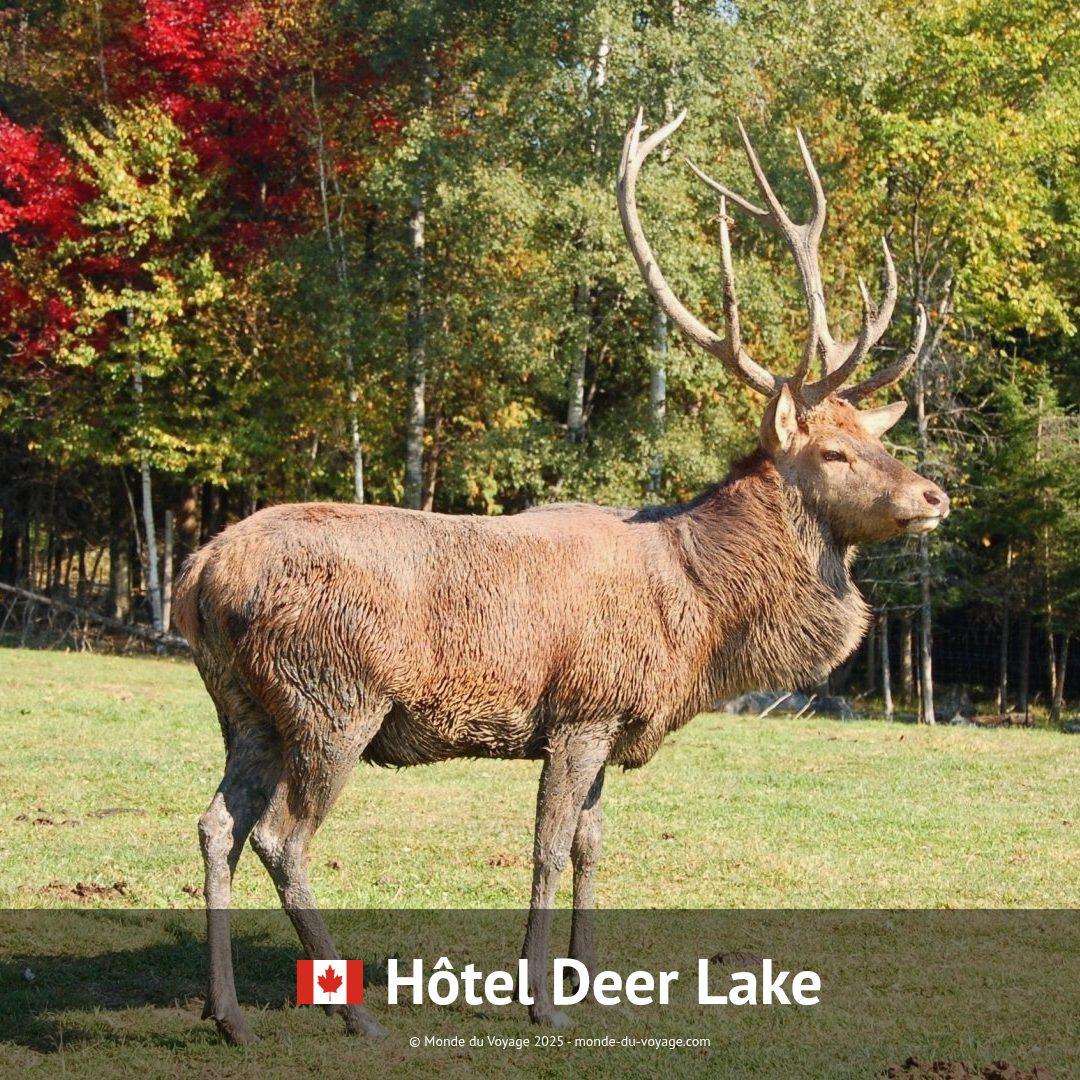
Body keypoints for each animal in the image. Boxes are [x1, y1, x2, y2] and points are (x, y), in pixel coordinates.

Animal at [173, 109, 949, 1043]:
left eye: (875, 437)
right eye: (834, 452)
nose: (934, 494)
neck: (696, 614)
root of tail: (198, 574)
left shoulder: (614, 720)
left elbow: (590, 844)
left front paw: (587, 980)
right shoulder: (582, 710)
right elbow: (545, 846)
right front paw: (542, 998)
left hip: (245, 705)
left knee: (217, 822)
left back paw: (227, 1012)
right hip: (333, 698)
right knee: (281, 835)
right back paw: (355, 1013)